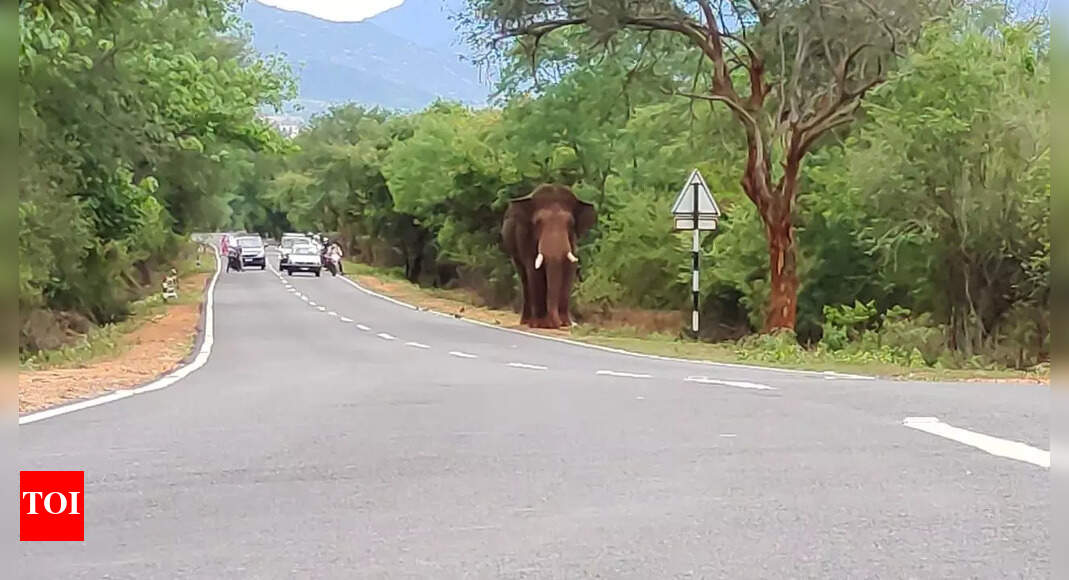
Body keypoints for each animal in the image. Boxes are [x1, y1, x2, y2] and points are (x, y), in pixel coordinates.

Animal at [501, 184, 596, 329]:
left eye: (570, 223)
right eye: (538, 222)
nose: (556, 324)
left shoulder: (572, 240)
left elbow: (570, 268)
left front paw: (565, 323)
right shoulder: (524, 237)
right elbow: (534, 271)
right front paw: (541, 324)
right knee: (524, 277)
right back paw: (527, 322)